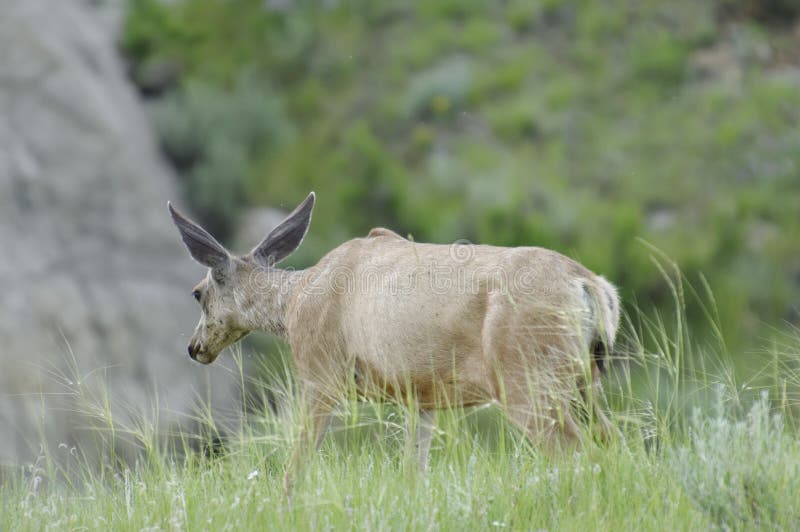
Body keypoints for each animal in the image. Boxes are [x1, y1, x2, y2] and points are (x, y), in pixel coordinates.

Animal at [168, 192, 620, 494]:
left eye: (197, 293)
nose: (194, 348)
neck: (294, 302)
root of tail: (590, 284)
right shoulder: (422, 395)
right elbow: (414, 472)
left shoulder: (320, 371)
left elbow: (298, 461)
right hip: (583, 378)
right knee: (609, 438)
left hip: (525, 373)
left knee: (577, 451)